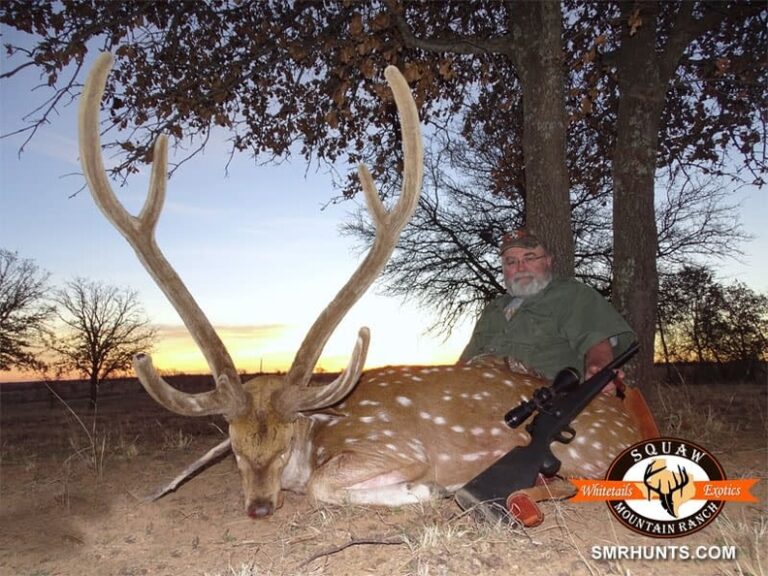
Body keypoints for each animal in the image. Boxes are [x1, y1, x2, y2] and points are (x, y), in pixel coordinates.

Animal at [79, 52, 657, 519]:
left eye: (283, 444)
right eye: (236, 448)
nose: (260, 507)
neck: (318, 432)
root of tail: (635, 424)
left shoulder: (395, 447)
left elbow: (323, 485)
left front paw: (423, 492)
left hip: (589, 451)